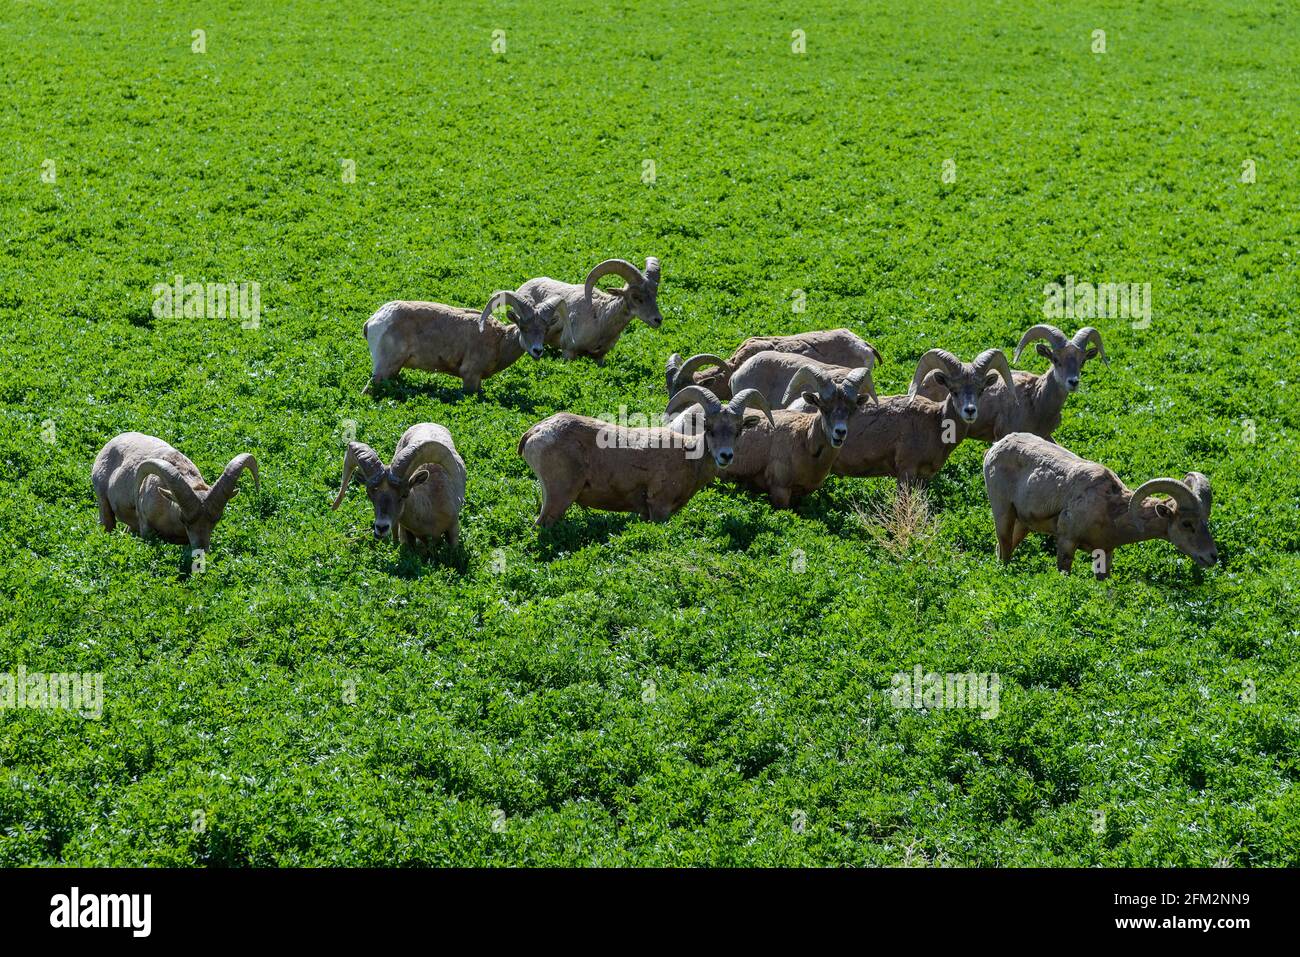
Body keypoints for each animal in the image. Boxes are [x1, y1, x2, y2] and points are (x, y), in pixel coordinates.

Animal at [362, 291, 565, 394]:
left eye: (545, 330)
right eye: (524, 327)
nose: (537, 351)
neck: (499, 342)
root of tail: (373, 321)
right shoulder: (470, 376)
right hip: (384, 368)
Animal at [515, 257, 662, 363]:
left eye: (655, 294)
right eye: (636, 297)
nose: (658, 320)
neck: (600, 321)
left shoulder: (599, 358)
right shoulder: (568, 352)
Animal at [518, 386, 772, 527]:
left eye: (738, 431)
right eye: (709, 428)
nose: (725, 456)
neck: (688, 457)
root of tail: (535, 432)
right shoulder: (659, 508)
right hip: (558, 497)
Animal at [830, 348, 1016, 487]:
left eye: (981, 390)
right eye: (953, 390)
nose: (970, 411)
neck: (936, 424)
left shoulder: (923, 478)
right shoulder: (906, 472)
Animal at [982, 431, 1217, 577]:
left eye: (1205, 521)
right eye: (1187, 523)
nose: (1212, 557)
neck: (1111, 511)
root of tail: (996, 447)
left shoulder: (1105, 553)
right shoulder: (1067, 541)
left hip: (1023, 525)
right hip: (1003, 514)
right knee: (1004, 550)